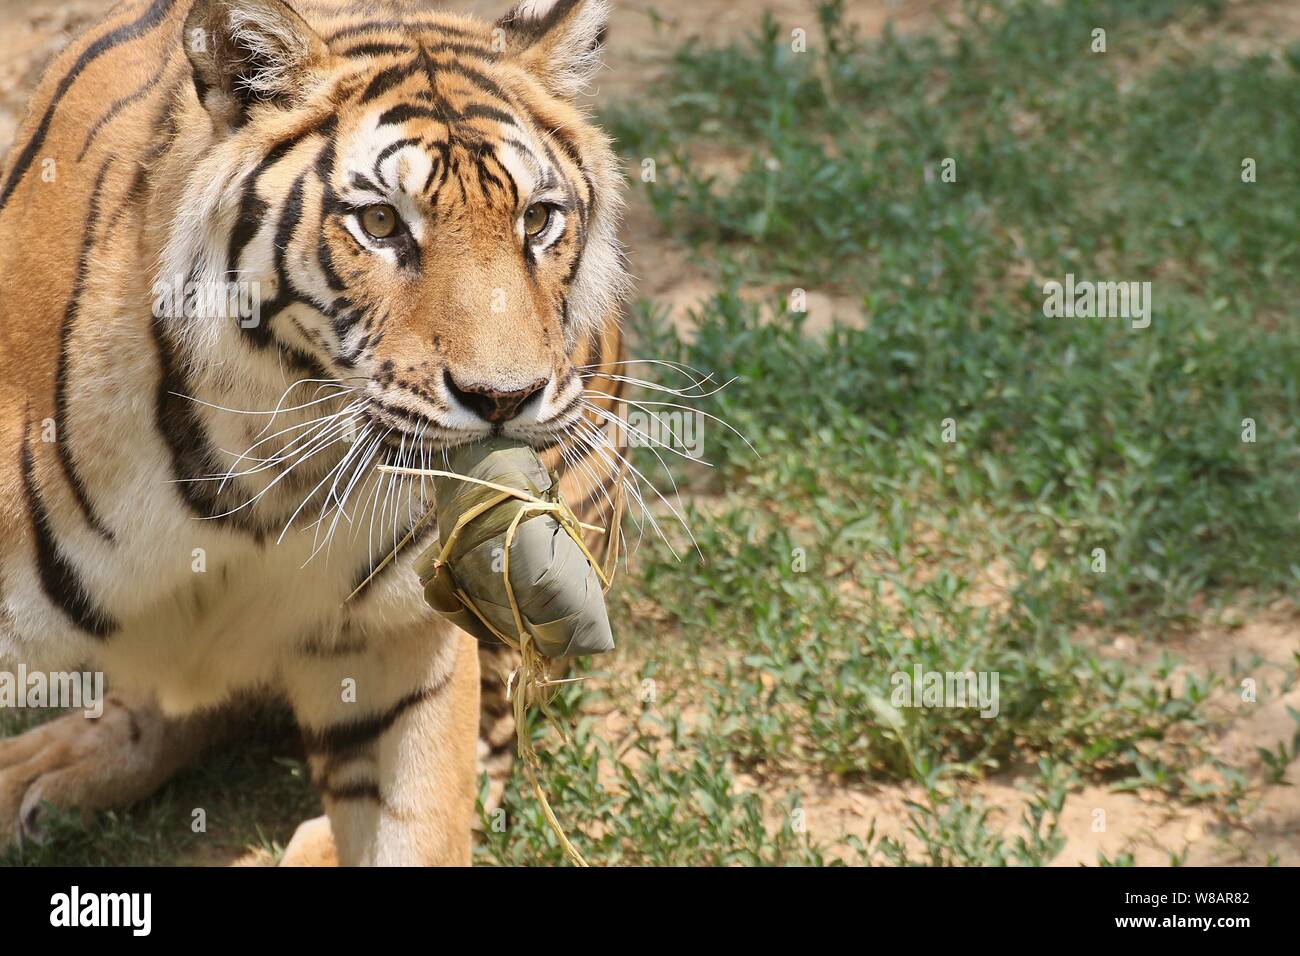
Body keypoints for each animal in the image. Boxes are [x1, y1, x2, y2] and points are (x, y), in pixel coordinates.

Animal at [0, 0, 631, 866]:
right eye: (381, 223)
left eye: (536, 220)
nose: (505, 398)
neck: (262, 462)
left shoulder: (396, 640)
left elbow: (418, 822)